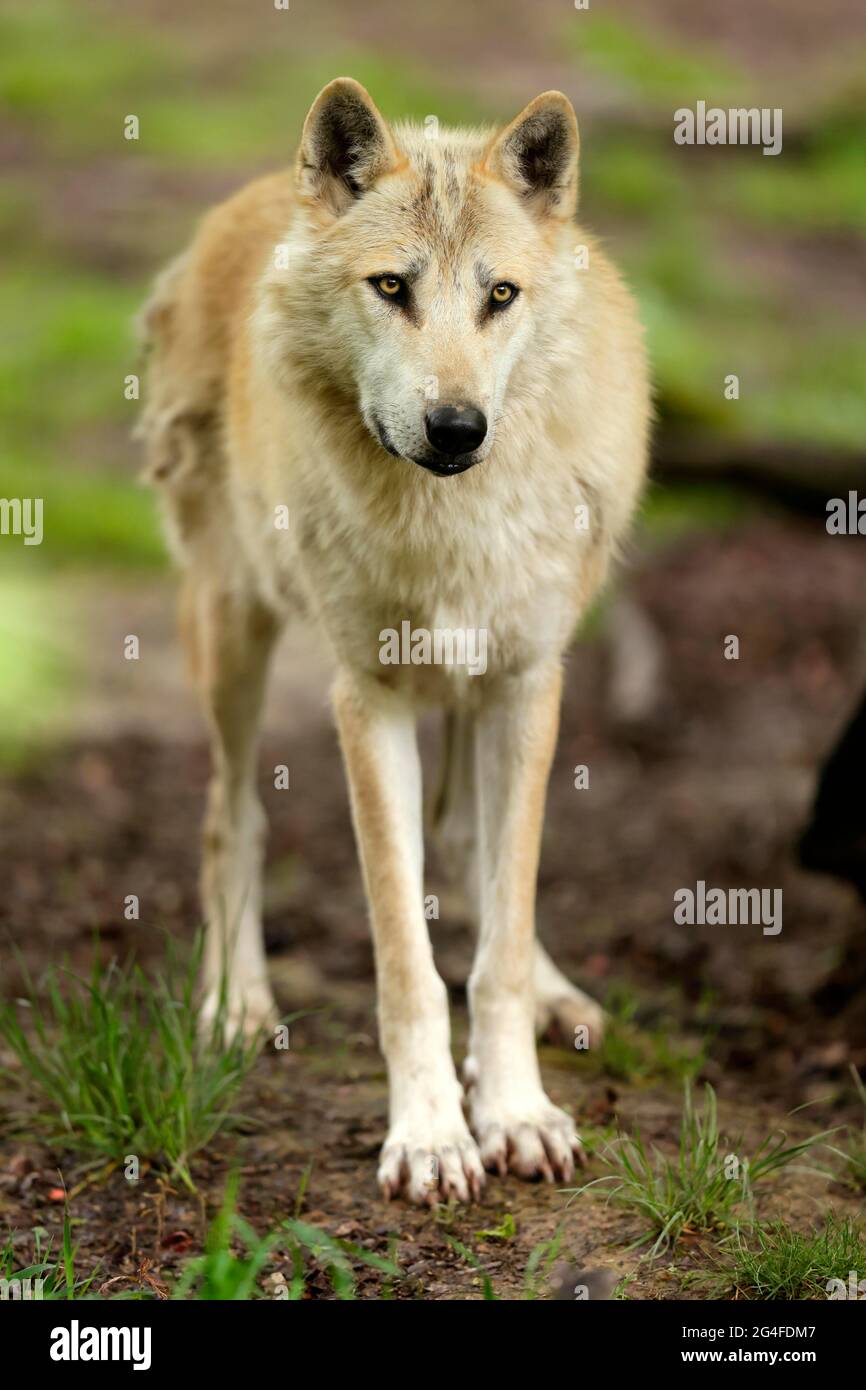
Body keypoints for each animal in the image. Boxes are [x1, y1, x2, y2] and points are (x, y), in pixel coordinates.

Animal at [136, 78, 650, 1204]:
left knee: (466, 847)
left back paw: (556, 997)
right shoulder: (365, 697)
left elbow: (499, 938)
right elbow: (405, 961)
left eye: (499, 295)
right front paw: (430, 1136)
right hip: (233, 631)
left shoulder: (524, 684)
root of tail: (250, 199)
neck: (447, 519)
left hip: (460, 693)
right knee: (230, 819)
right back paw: (235, 1004)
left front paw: (515, 1111)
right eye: (390, 287)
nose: (457, 427)